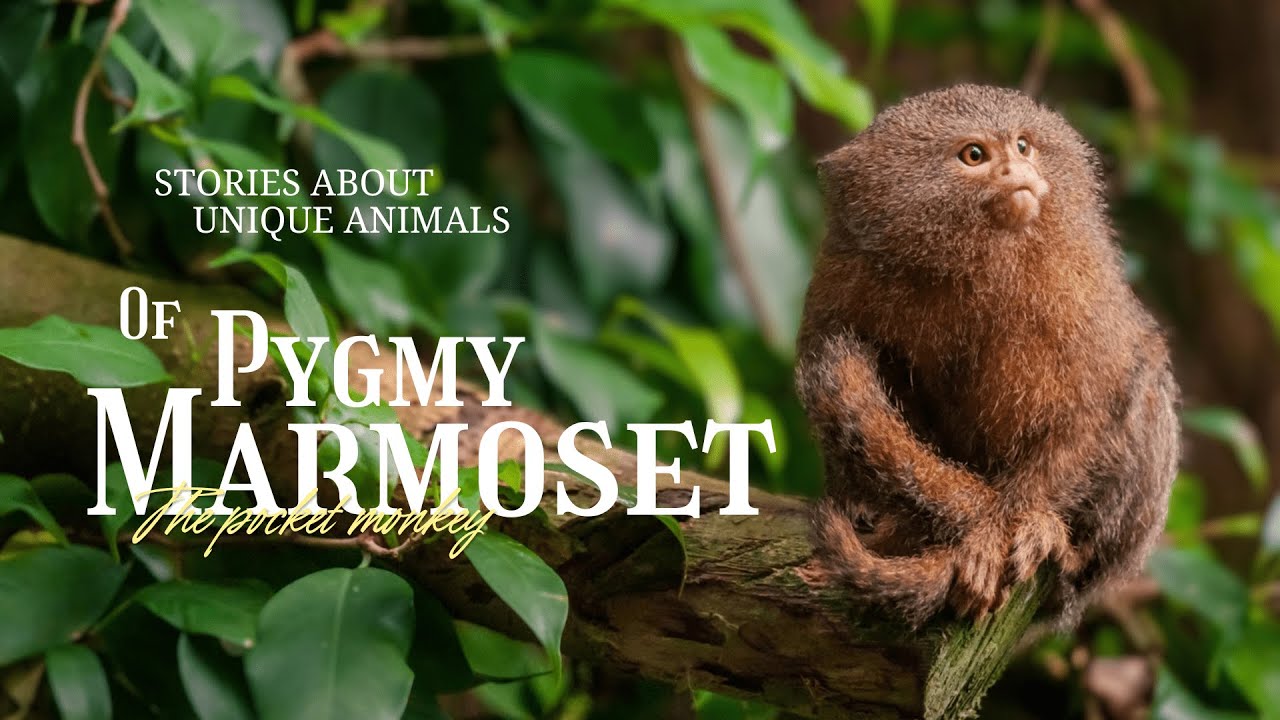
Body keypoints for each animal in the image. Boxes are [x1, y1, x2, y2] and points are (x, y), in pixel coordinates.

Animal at [794, 85, 1179, 628]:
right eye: (974, 156)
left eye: (1022, 146)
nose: (1017, 170)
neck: (976, 263)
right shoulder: (846, 273)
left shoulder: (1085, 295)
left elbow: (1101, 402)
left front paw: (1013, 524)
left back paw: (1070, 554)